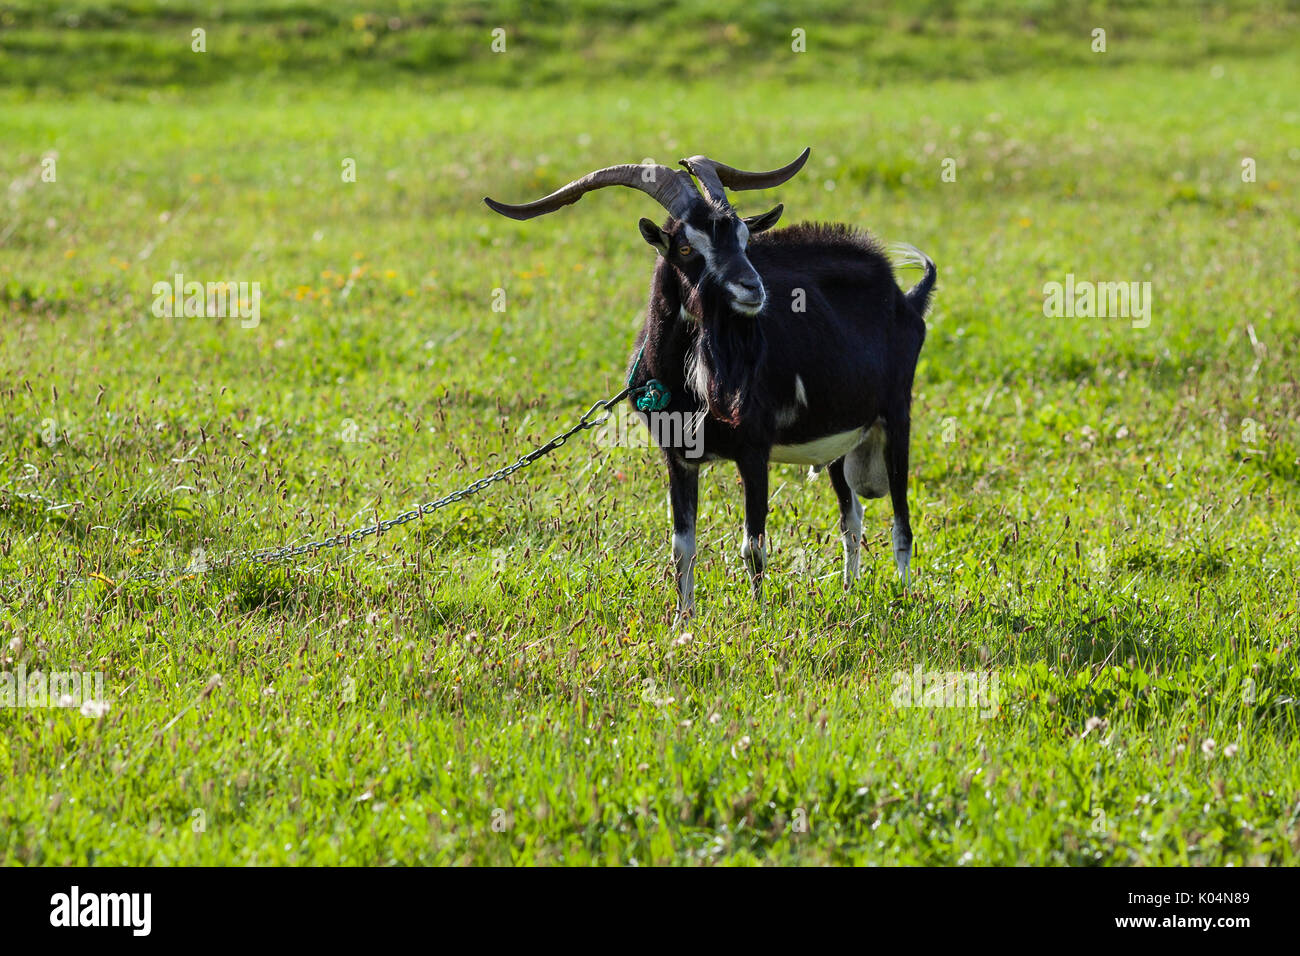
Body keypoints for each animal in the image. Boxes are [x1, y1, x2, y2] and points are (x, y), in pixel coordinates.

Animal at [485, 149, 935, 617]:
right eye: (686, 247)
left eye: (744, 239)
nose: (752, 288)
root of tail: (906, 297)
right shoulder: (677, 457)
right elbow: (682, 545)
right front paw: (683, 618)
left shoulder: (754, 450)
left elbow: (753, 545)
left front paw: (758, 616)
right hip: (836, 440)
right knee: (852, 518)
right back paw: (849, 592)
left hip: (896, 417)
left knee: (901, 524)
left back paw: (905, 596)